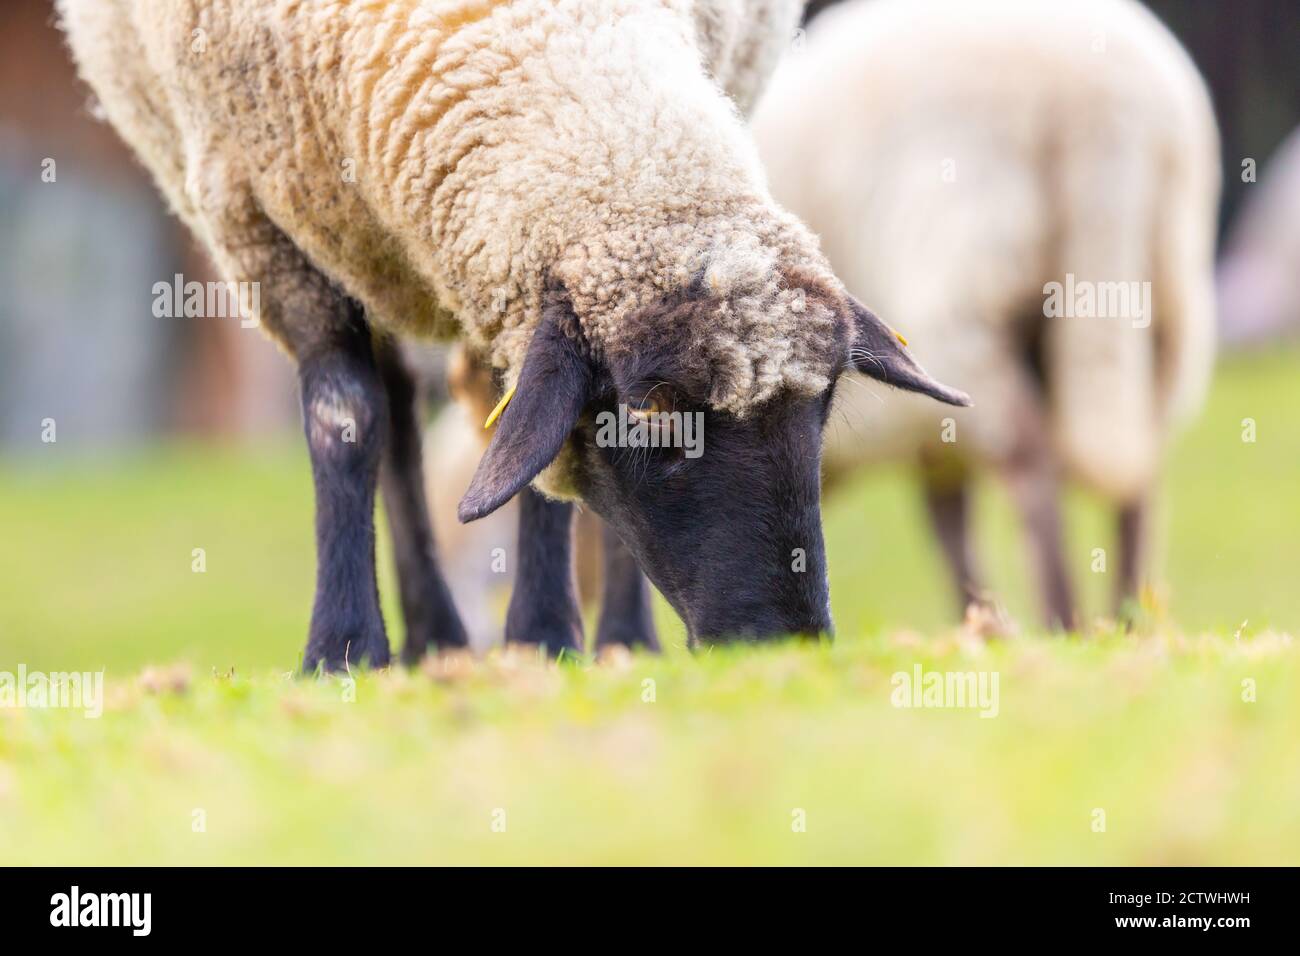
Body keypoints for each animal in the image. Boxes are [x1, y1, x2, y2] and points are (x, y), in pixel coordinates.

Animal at [58, 0, 969, 669]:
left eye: (825, 408)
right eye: (648, 417)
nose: (784, 645)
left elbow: (529, 439)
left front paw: (543, 637)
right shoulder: (256, 217)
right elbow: (344, 418)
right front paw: (343, 650)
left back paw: (614, 641)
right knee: (394, 410)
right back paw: (431, 639)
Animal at [752, 0, 1220, 628]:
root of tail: (1106, 103)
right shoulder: (932, 442)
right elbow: (950, 530)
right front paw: (980, 621)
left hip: (971, 293)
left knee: (1033, 463)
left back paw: (1063, 623)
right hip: (1161, 291)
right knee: (1138, 469)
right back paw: (1126, 621)